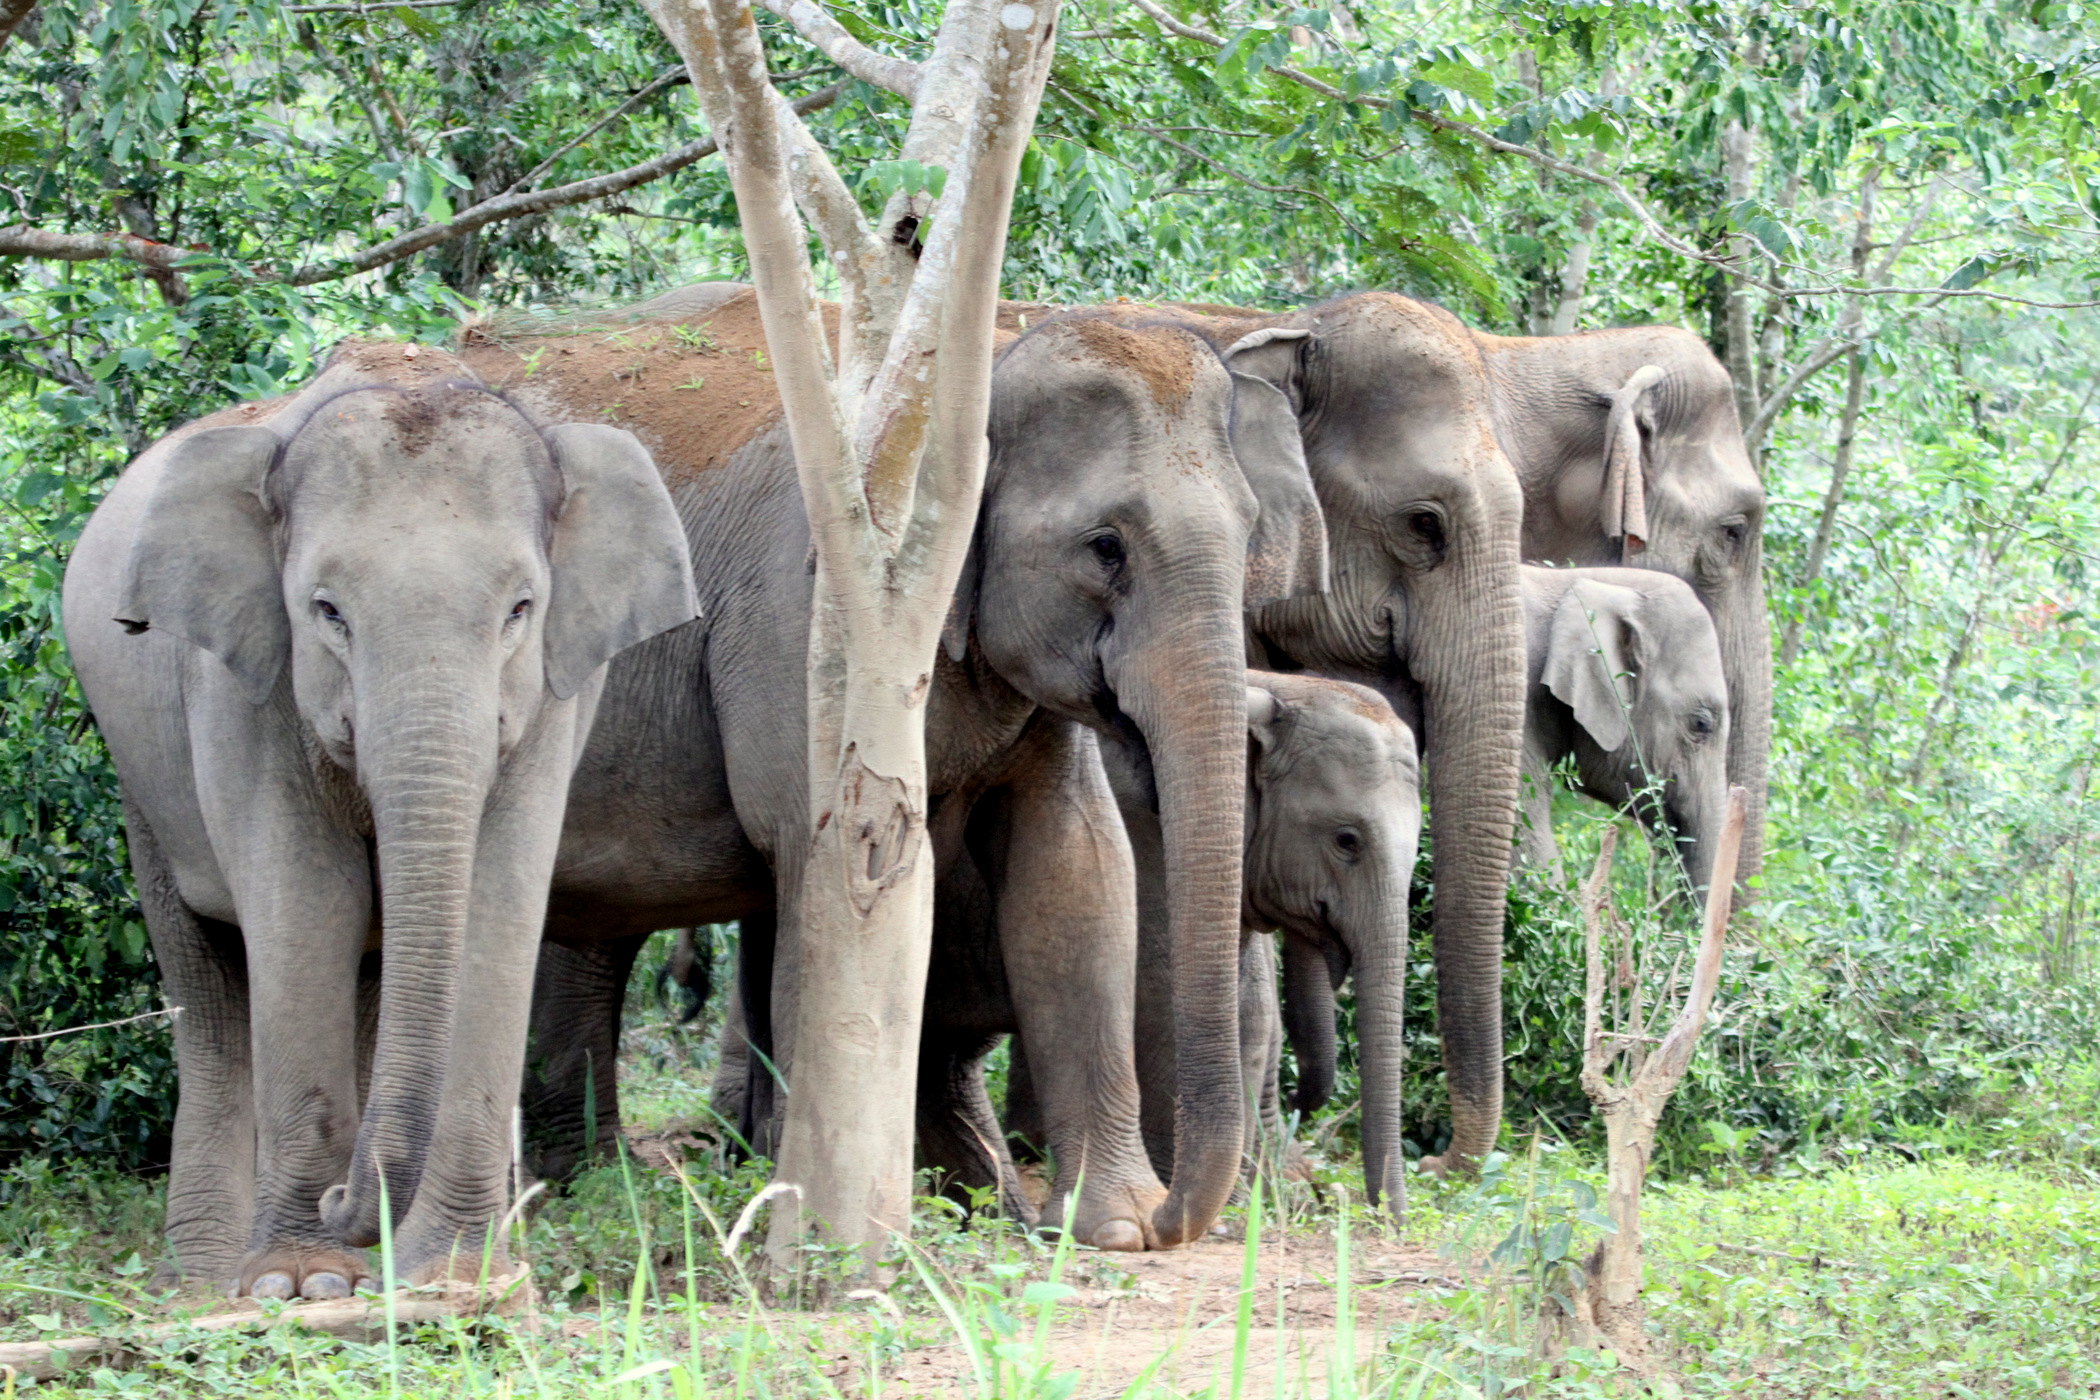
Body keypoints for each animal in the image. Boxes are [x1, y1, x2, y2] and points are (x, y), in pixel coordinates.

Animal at [60, 341, 699, 1296]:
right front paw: (302, 1283)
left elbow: (499, 900)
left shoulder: (560, 694)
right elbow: (308, 902)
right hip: (138, 767)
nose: (344, 1205)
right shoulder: (243, 684)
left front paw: (459, 1275)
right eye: (327, 611)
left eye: (521, 609)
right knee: (207, 986)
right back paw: (208, 1278)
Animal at [457, 285, 1329, 1249]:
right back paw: (578, 1195)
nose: (1180, 1216)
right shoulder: (805, 625)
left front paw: (1111, 1228)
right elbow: (818, 857)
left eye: (1251, 535)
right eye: (1107, 546)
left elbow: (1074, 869)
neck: (983, 357)